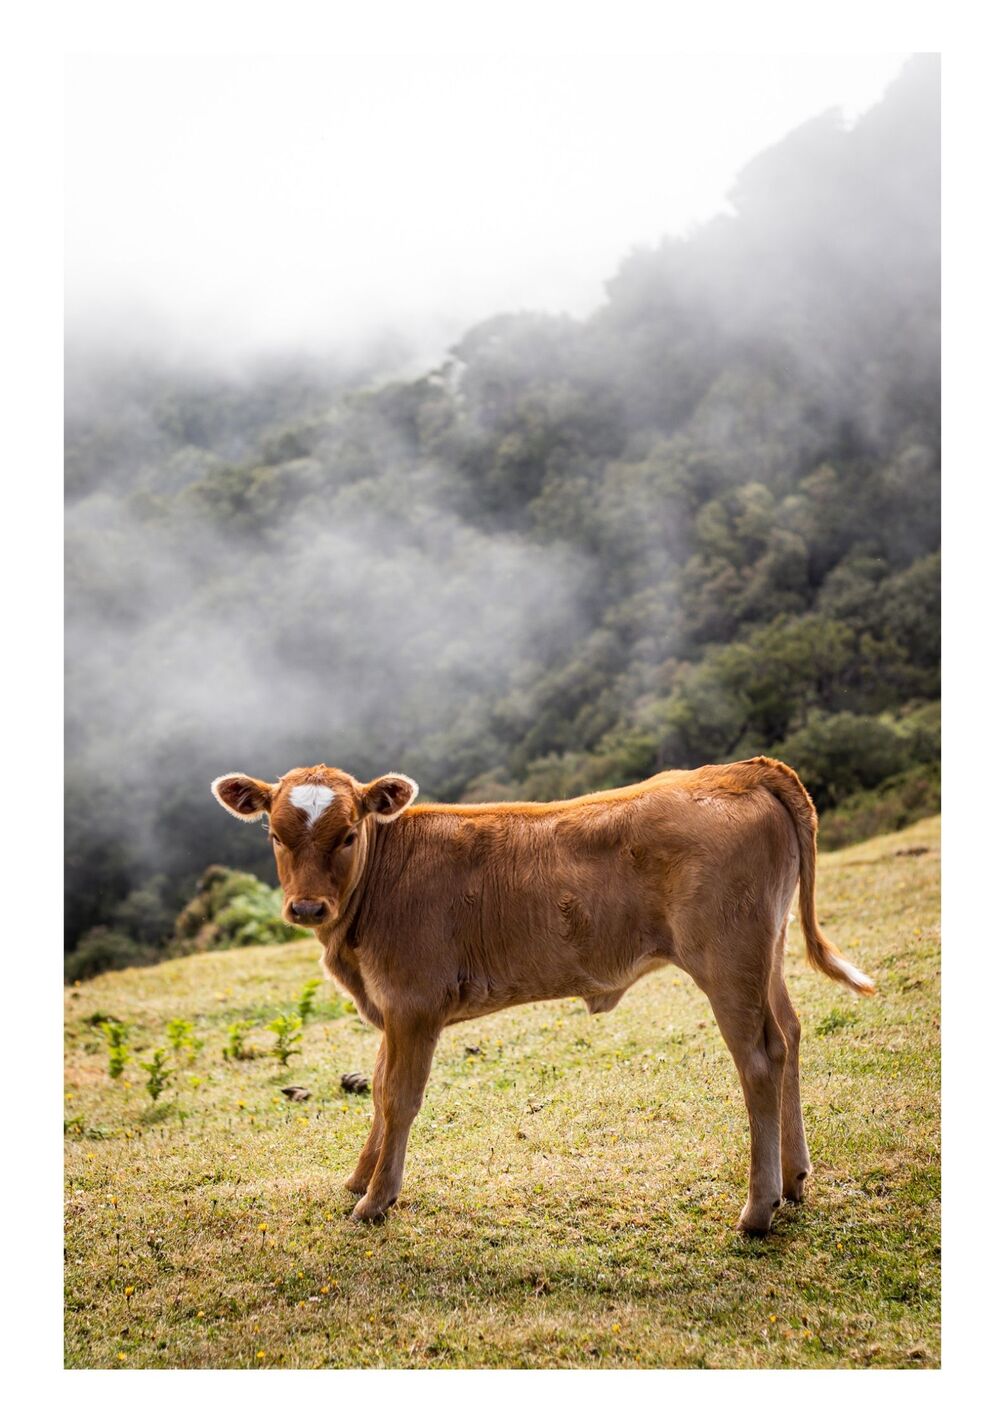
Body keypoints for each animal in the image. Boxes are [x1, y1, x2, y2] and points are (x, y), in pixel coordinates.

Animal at [211, 756, 874, 1233]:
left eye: (348, 834)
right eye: (275, 834)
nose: (306, 908)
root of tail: (738, 769)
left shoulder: (412, 1002)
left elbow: (397, 1097)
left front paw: (376, 1200)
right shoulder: (393, 1008)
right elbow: (375, 1090)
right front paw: (358, 1179)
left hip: (728, 958)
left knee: (758, 1059)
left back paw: (758, 1210)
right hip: (766, 952)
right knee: (788, 1036)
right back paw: (794, 1178)